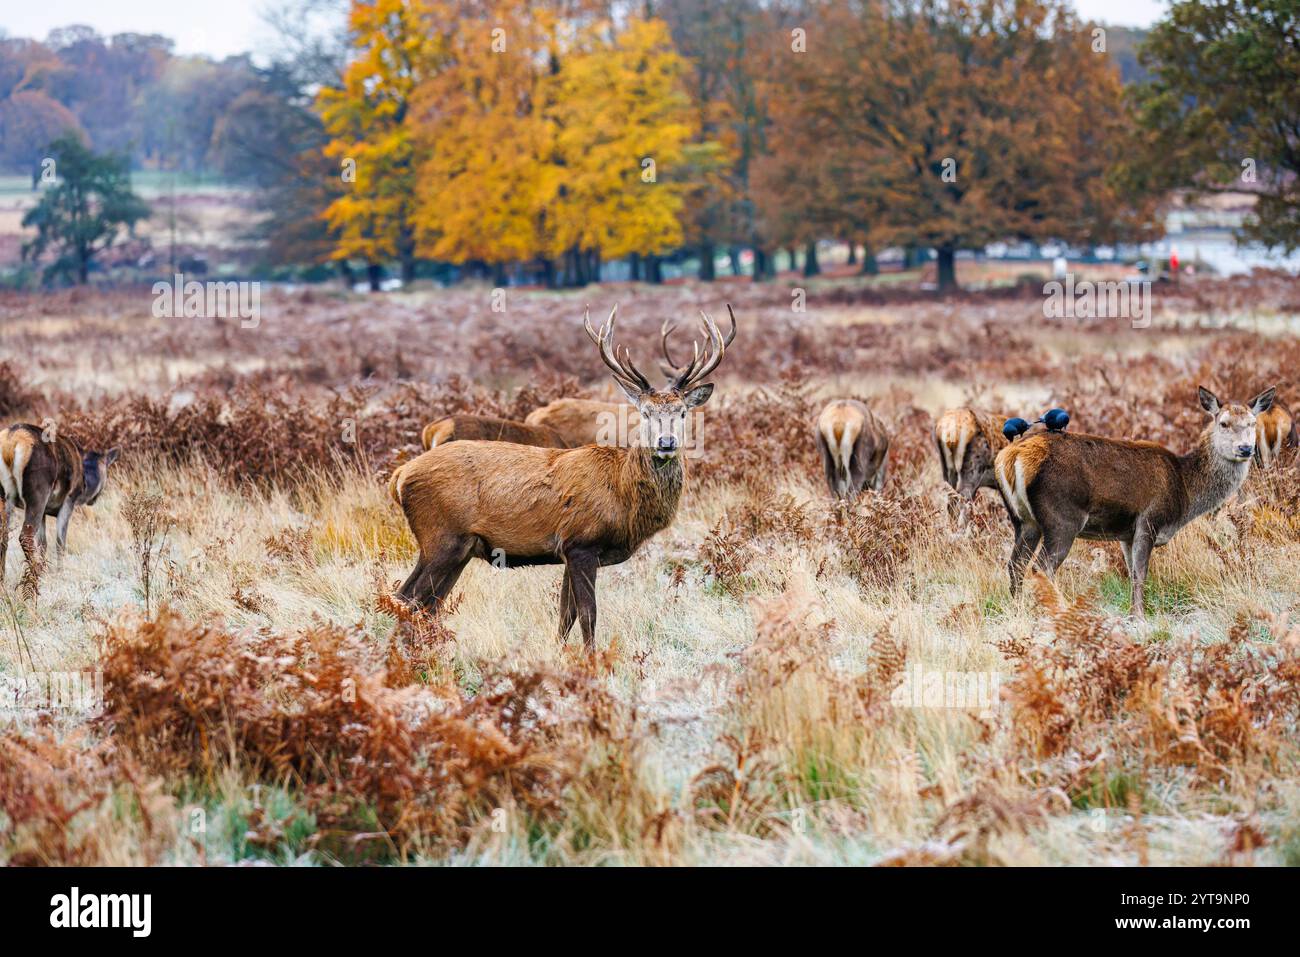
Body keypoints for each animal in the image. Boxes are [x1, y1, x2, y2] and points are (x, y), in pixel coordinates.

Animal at [0, 423, 119, 581]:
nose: (93, 500)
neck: (84, 484)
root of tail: (11, 442)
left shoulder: (45, 510)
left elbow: (43, 543)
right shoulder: (69, 500)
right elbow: (60, 542)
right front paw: (59, 572)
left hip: (6, 496)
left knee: (4, 536)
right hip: (38, 491)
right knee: (25, 536)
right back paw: (37, 575)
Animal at [994, 386, 1275, 618]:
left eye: (1252, 422)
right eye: (1224, 423)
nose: (1245, 448)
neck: (1184, 493)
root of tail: (1012, 456)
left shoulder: (1125, 535)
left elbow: (1131, 574)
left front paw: (1132, 613)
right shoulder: (1149, 519)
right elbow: (1141, 573)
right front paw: (1139, 617)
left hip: (1024, 520)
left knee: (1015, 565)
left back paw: (1018, 611)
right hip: (1062, 517)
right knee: (1041, 567)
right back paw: (1058, 611)